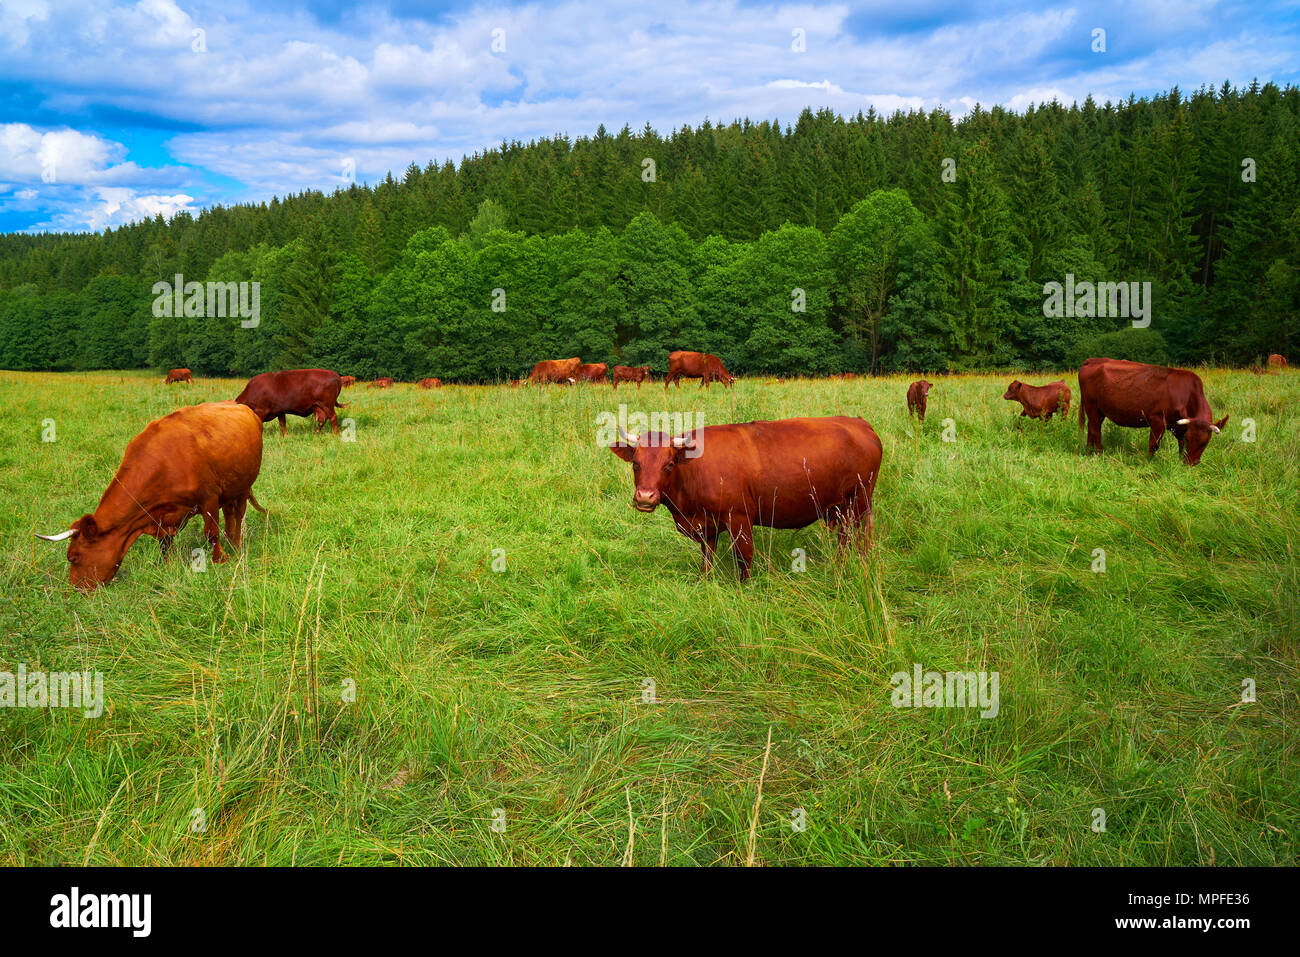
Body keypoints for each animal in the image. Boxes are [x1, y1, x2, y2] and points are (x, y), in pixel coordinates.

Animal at [35, 402, 265, 591]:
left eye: (73, 557)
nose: (75, 590)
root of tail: (244, 407)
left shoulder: (208, 498)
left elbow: (211, 534)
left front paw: (220, 560)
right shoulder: (162, 516)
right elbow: (165, 543)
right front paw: (167, 566)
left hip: (244, 486)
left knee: (238, 514)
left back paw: (236, 544)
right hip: (230, 490)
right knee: (229, 513)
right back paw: (231, 539)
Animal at [610, 416, 882, 581]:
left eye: (668, 465)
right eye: (636, 464)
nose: (645, 497)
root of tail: (858, 423)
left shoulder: (739, 517)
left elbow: (744, 556)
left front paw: (745, 588)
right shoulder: (707, 524)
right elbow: (707, 557)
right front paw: (704, 581)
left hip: (858, 503)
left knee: (855, 539)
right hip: (842, 508)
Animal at [1078, 357, 1228, 465]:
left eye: (1205, 442)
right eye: (1189, 438)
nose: (1190, 463)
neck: (1186, 393)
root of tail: (1093, 360)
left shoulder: (1178, 425)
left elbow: (1180, 444)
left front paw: (1179, 459)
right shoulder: (1157, 419)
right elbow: (1154, 444)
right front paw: (1149, 462)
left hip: (1099, 410)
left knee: (1091, 428)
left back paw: (1089, 451)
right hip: (1091, 405)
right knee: (1096, 430)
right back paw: (1100, 453)